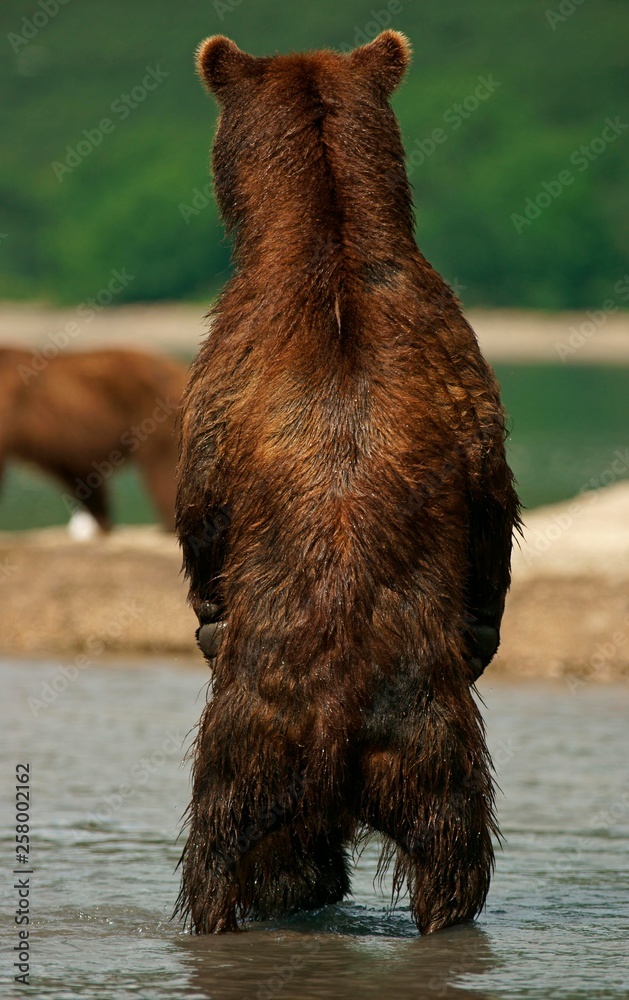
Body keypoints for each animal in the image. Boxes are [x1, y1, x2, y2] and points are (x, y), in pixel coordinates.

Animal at [175, 31, 520, 935]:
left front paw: (204, 606)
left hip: (249, 736)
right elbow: (493, 509)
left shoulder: (219, 383)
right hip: (428, 747)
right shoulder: (462, 376)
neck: (328, 233)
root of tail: (334, 722)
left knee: (214, 846)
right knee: (454, 858)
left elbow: (201, 517)